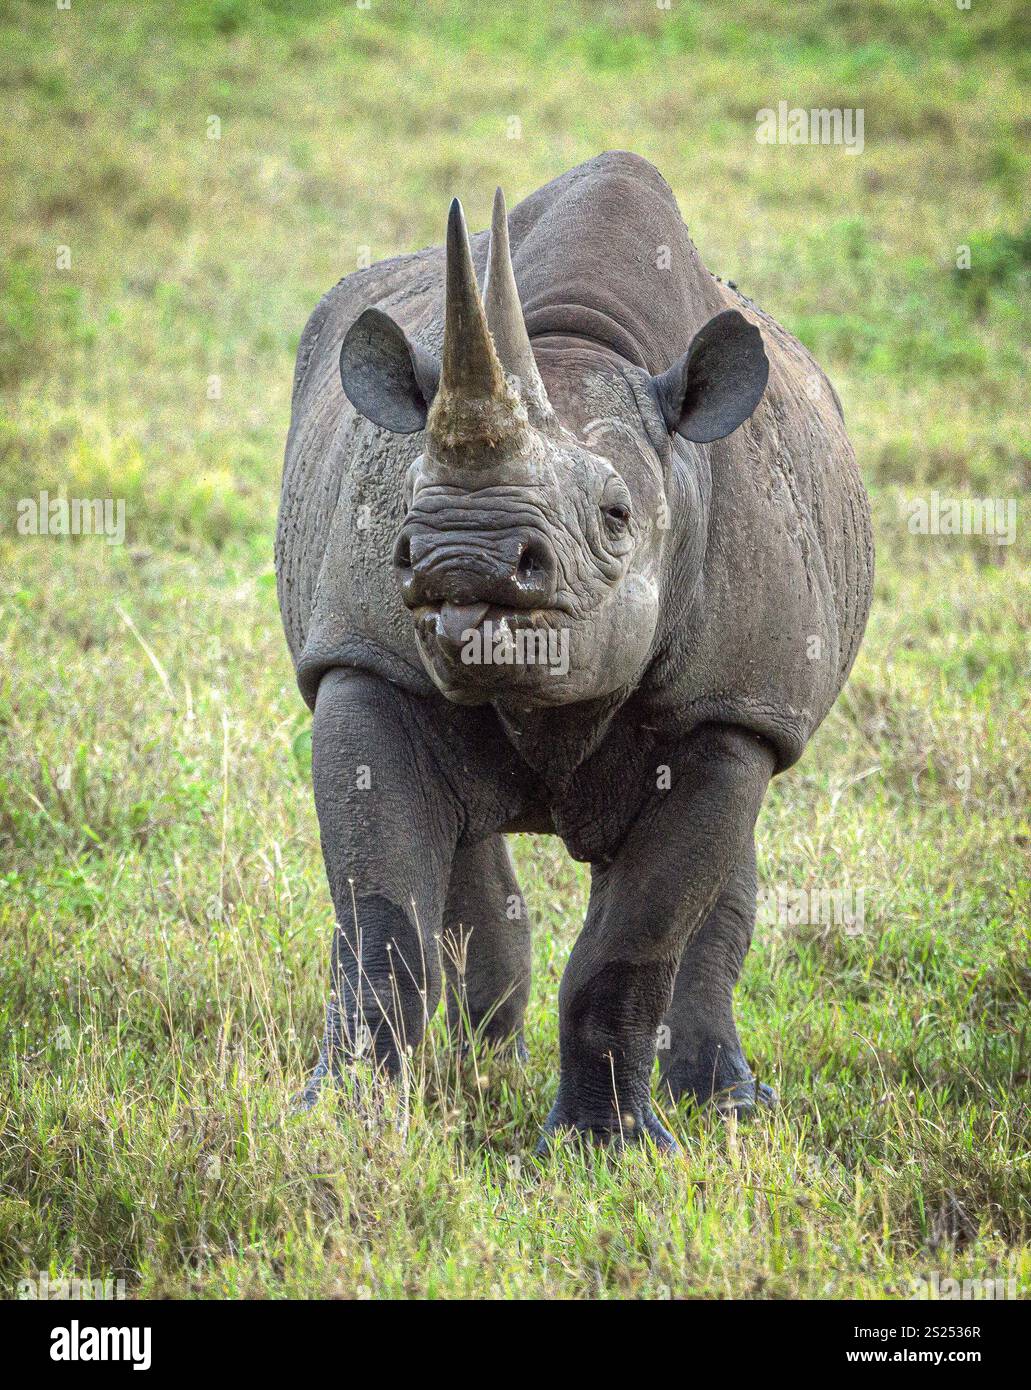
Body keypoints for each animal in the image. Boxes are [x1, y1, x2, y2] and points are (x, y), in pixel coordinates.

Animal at [276, 152, 873, 1150]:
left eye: (616, 517)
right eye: (408, 505)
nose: (461, 558)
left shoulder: (727, 705)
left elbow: (633, 941)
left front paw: (606, 1150)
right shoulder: (363, 656)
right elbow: (379, 919)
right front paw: (342, 1123)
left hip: (757, 695)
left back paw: (724, 1105)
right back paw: (485, 1068)